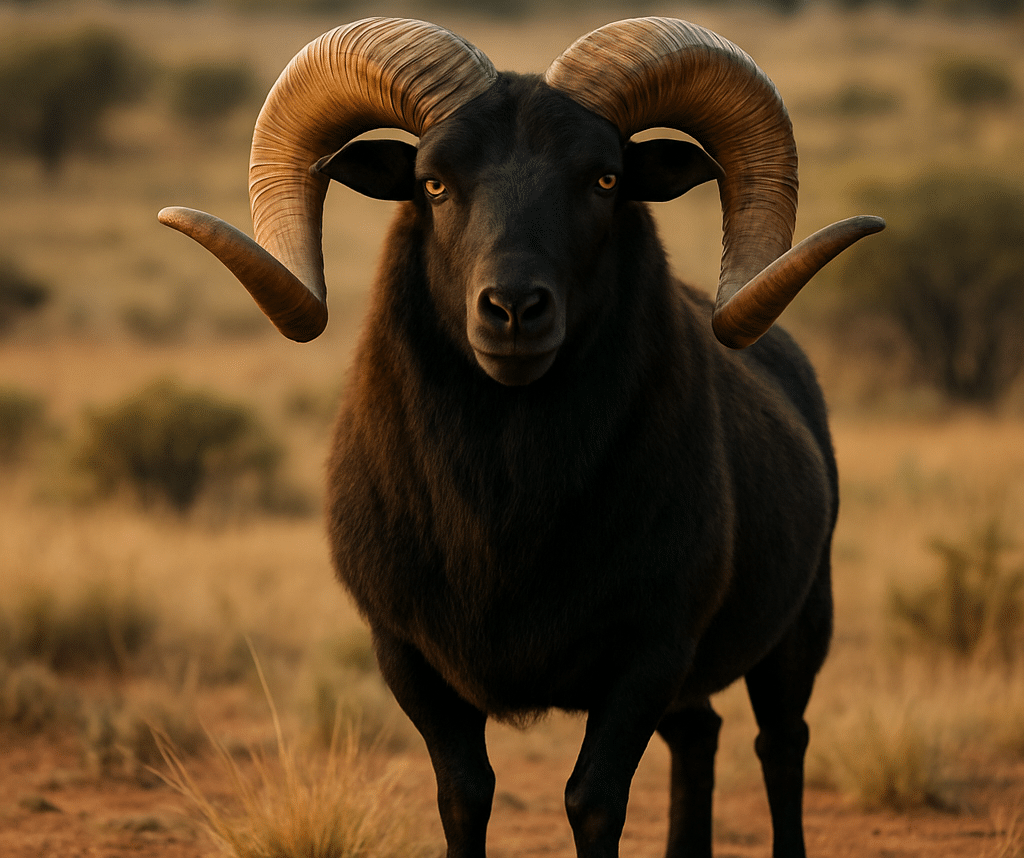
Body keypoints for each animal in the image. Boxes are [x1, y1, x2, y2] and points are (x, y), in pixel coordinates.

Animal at [158, 17, 884, 858]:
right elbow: (465, 797)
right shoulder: (409, 657)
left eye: (604, 179)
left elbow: (593, 801)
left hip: (798, 631)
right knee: (699, 735)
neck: (505, 514)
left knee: (780, 745)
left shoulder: (649, 652)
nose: (512, 309)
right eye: (434, 183)